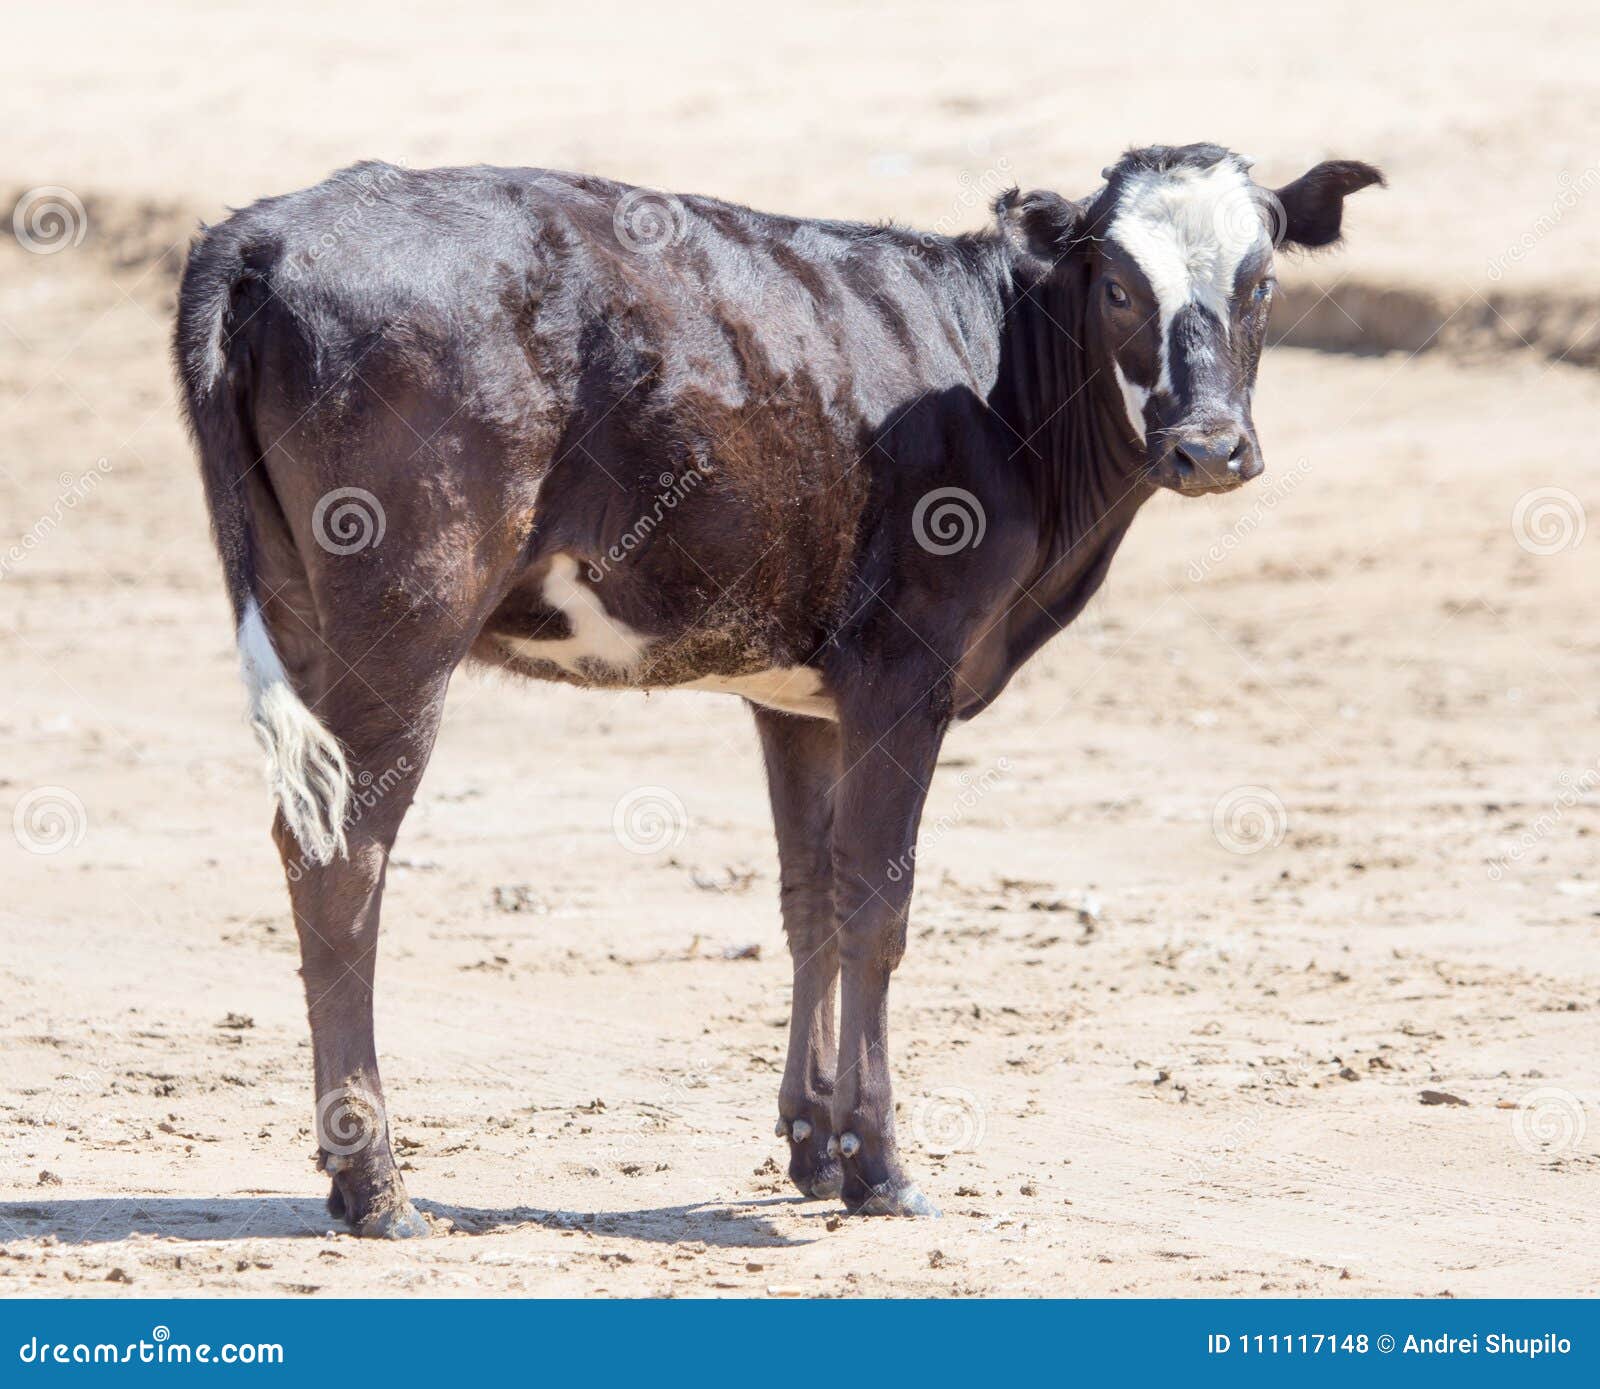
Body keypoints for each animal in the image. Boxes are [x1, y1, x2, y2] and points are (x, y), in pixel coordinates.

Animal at [174, 143, 1381, 1234]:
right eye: (1121, 285)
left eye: (1261, 282)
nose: (1211, 447)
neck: (995, 382)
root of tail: (271, 224)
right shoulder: (906, 669)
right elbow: (878, 906)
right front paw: (881, 1166)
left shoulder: (798, 699)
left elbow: (811, 901)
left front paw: (814, 1142)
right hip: (406, 616)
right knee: (344, 858)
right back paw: (378, 1187)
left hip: (304, 610)